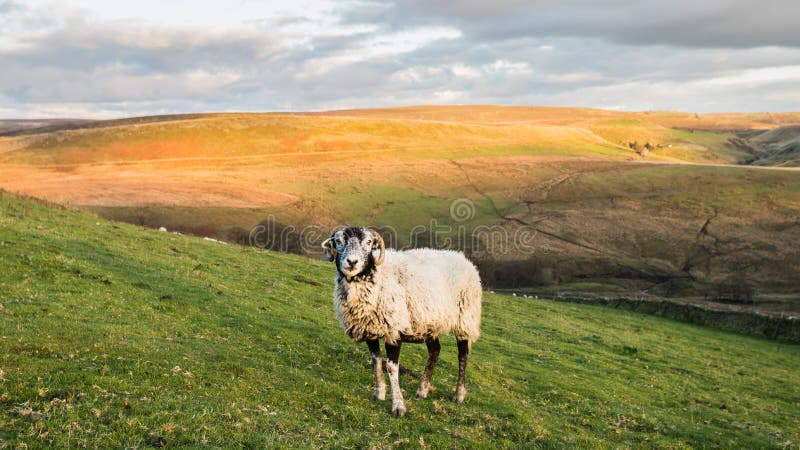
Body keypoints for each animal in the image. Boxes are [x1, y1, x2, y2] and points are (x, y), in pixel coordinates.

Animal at [322, 226, 482, 417]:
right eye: (338, 241)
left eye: (369, 242)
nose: (352, 262)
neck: (376, 276)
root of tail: (463, 259)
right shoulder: (370, 330)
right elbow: (376, 362)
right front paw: (379, 393)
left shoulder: (393, 329)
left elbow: (392, 367)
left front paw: (398, 406)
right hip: (429, 323)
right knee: (435, 350)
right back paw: (422, 390)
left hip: (465, 318)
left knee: (463, 354)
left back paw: (459, 394)